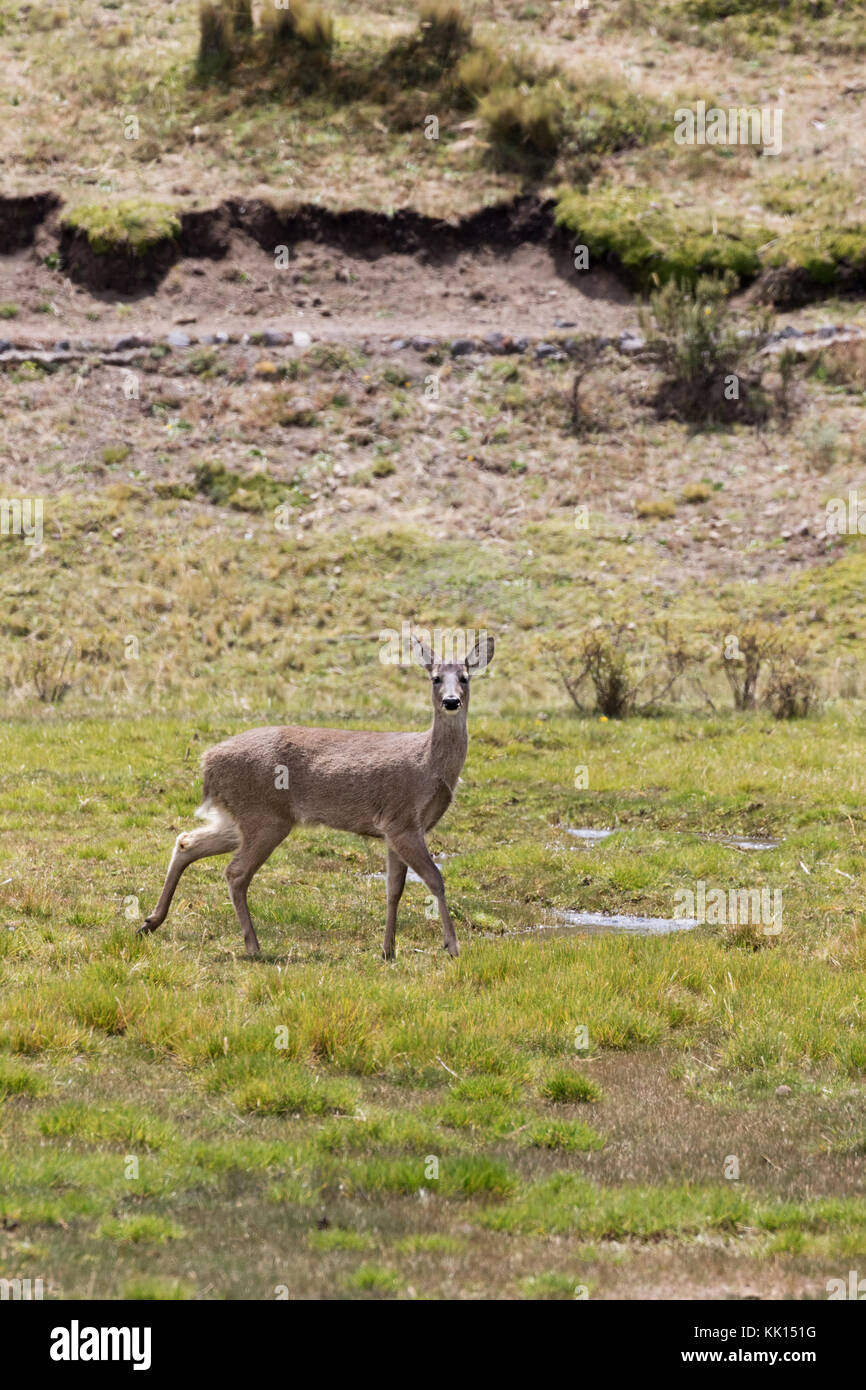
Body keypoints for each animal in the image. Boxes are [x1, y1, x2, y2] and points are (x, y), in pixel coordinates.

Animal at [139, 633, 494, 959]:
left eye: (465, 677)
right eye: (435, 678)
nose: (451, 701)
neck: (429, 765)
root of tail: (206, 761)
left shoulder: (393, 829)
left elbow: (394, 889)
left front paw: (388, 950)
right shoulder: (402, 819)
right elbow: (435, 879)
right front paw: (452, 946)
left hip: (241, 818)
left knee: (187, 841)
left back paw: (151, 922)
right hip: (265, 816)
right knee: (235, 873)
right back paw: (253, 946)